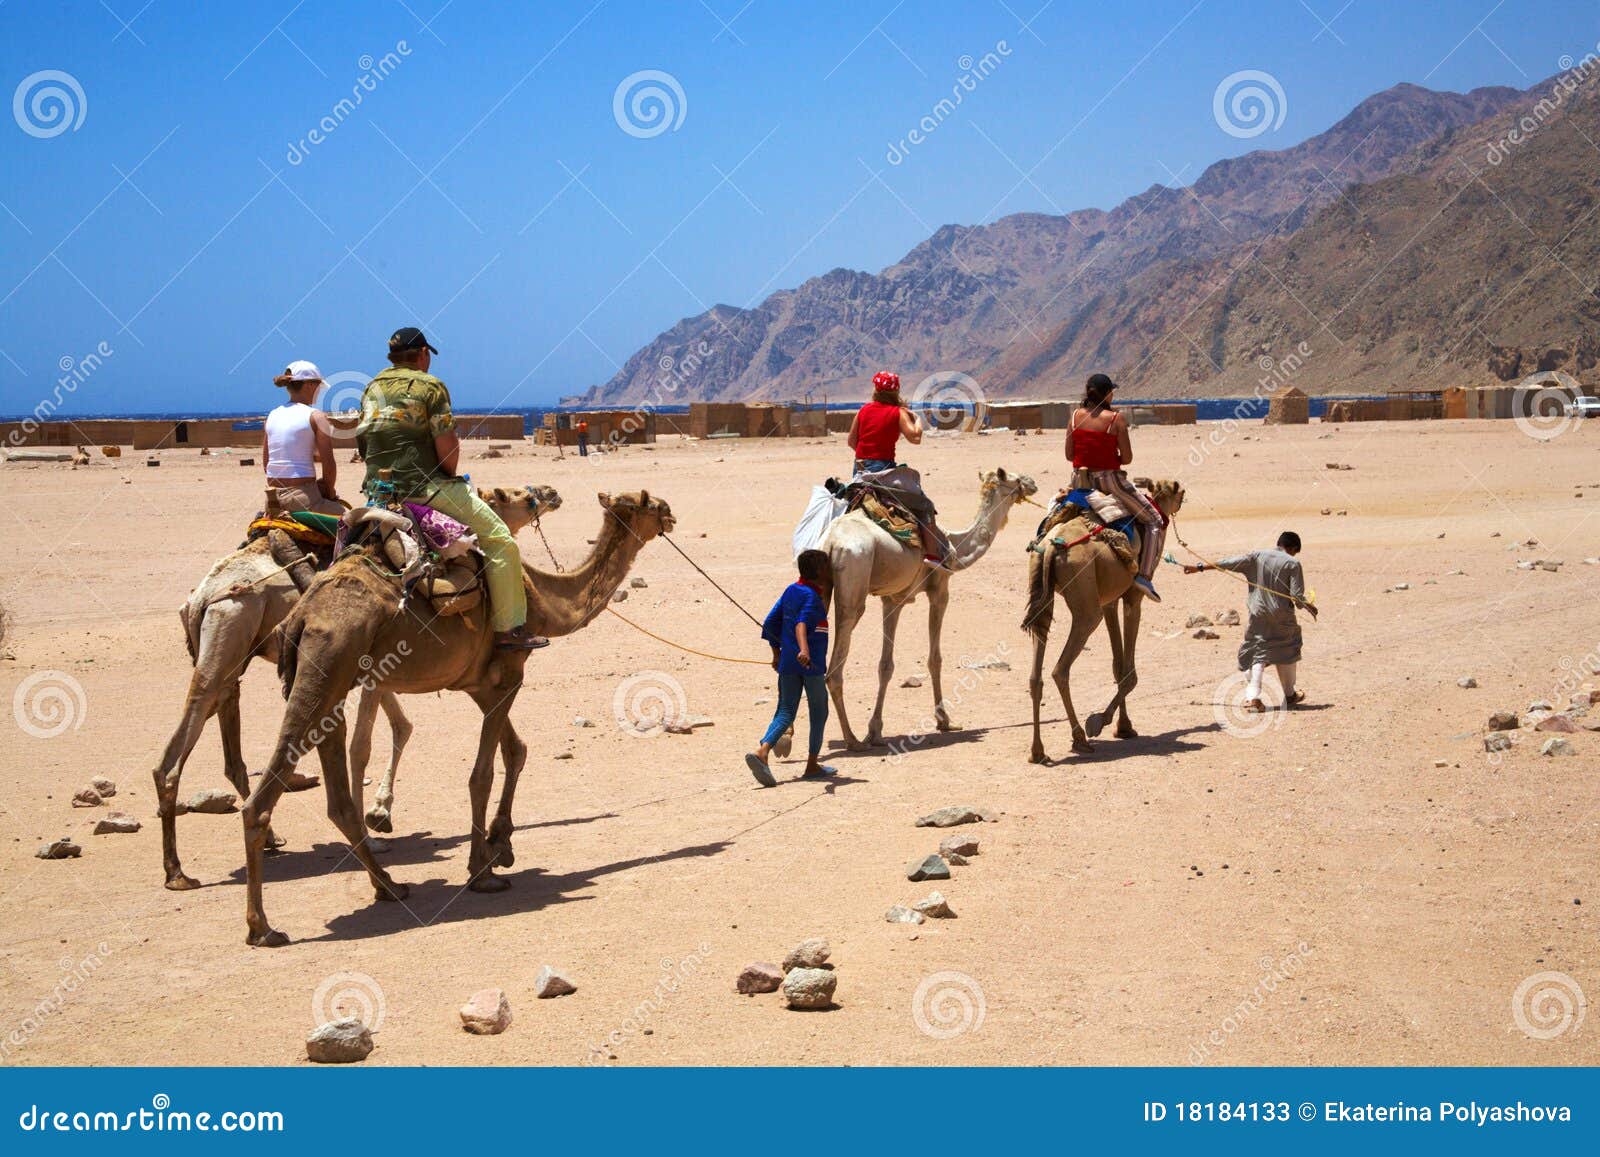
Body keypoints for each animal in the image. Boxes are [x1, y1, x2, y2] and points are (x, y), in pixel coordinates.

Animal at [152, 484, 561, 891]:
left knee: (193, 746)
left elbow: (395, 726)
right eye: (512, 497)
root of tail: (203, 597)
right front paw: (378, 821)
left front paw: (379, 816)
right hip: (234, 632)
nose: (550, 494)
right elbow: (371, 741)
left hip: (221, 656)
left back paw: (182, 869)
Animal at [240, 490, 675, 947]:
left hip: (324, 679)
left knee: (336, 798)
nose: (671, 515)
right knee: (269, 798)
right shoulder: (509, 673)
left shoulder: (481, 685)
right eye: (651, 504)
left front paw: (502, 845)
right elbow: (482, 774)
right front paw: (482, 870)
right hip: (328, 665)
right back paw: (265, 926)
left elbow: (516, 750)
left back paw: (386, 886)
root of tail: (303, 615)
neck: (540, 599)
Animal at [821, 467, 1038, 749]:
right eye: (1014, 478)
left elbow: (885, 665)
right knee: (834, 668)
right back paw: (851, 739)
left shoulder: (893, 600)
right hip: (854, 586)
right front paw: (944, 720)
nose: (1032, 482)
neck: (956, 544)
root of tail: (832, 545)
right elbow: (935, 659)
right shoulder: (940, 590)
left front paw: (875, 730)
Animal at [1023, 479, 1184, 762]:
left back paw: (1038, 751)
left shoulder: (1108, 600)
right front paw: (1101, 722)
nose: (1184, 495)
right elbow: (1129, 672)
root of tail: (1053, 545)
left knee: (1036, 674)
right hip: (1087, 607)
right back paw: (1080, 737)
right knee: (1060, 669)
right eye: (1177, 490)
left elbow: (1117, 666)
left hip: (1043, 596)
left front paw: (1125, 726)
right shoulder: (1132, 597)